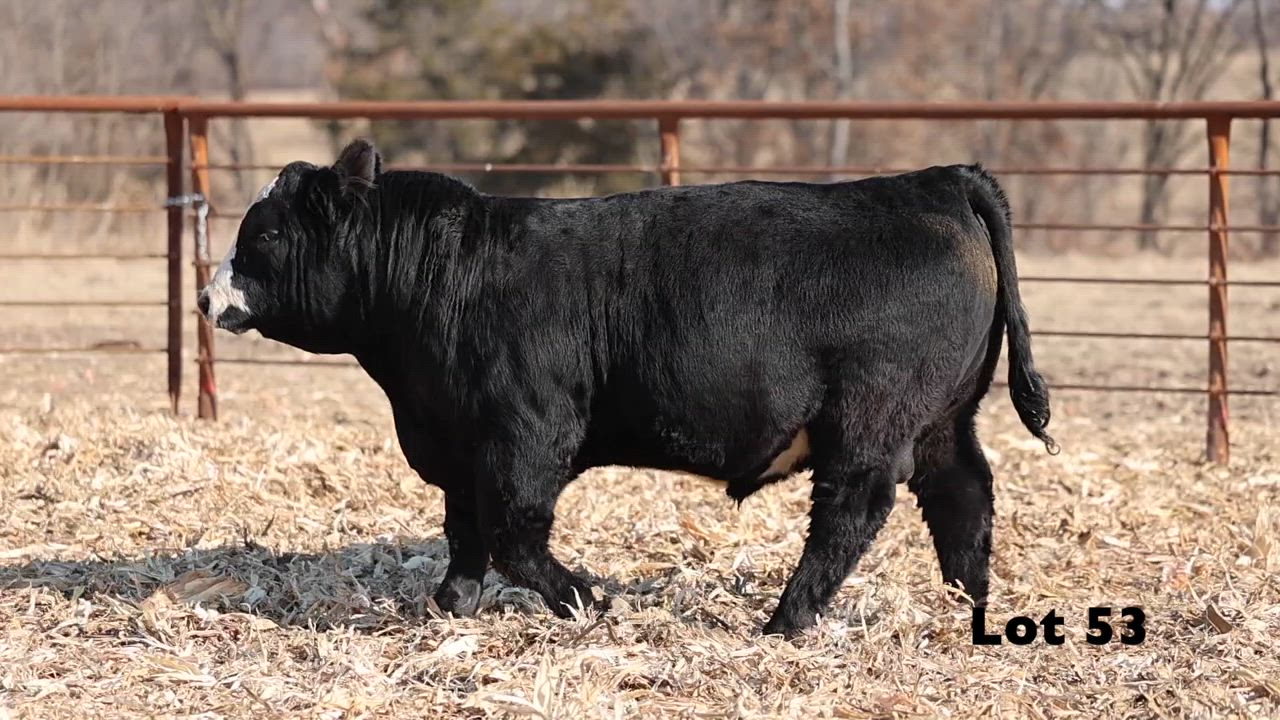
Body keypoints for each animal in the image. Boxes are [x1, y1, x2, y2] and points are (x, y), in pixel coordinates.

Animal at [197, 139, 1055, 638]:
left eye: (265, 234)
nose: (206, 298)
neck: (446, 275)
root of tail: (935, 181)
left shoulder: (526, 434)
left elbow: (513, 533)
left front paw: (588, 602)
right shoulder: (459, 441)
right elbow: (466, 530)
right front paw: (450, 605)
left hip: (870, 423)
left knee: (851, 513)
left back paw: (787, 619)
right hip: (943, 420)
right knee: (963, 493)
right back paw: (966, 600)